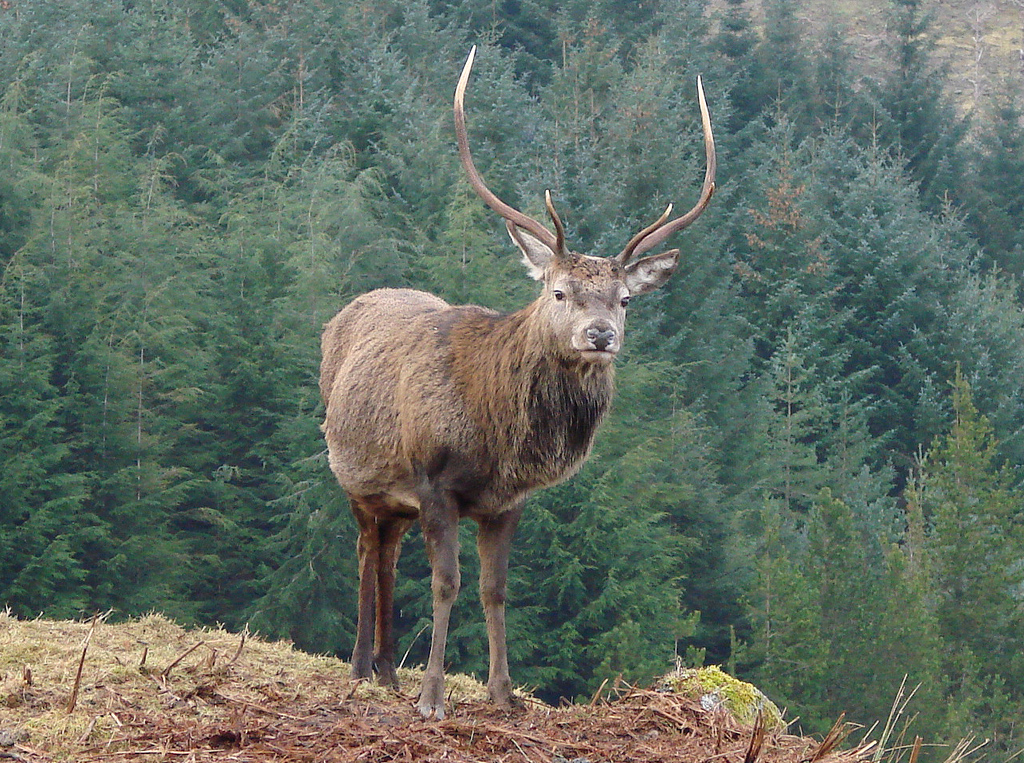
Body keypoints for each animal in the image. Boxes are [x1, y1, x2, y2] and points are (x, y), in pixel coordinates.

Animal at [319, 46, 715, 720]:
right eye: (558, 291)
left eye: (626, 299)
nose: (600, 335)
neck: (497, 438)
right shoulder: (434, 483)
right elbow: (447, 583)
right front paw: (433, 698)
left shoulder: (508, 501)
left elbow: (496, 590)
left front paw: (504, 694)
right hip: (356, 477)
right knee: (367, 552)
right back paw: (360, 667)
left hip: (395, 501)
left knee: (389, 554)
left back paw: (386, 672)